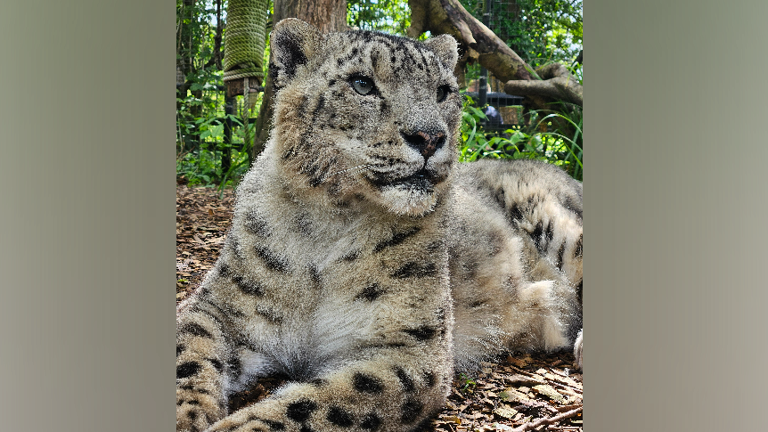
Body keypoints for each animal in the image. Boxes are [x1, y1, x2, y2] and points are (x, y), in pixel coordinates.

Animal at [176, 18, 583, 432]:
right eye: (361, 84)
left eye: (442, 91)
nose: (430, 137)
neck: (327, 231)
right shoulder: (219, 305)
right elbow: (188, 352)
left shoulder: (411, 349)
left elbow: (312, 405)